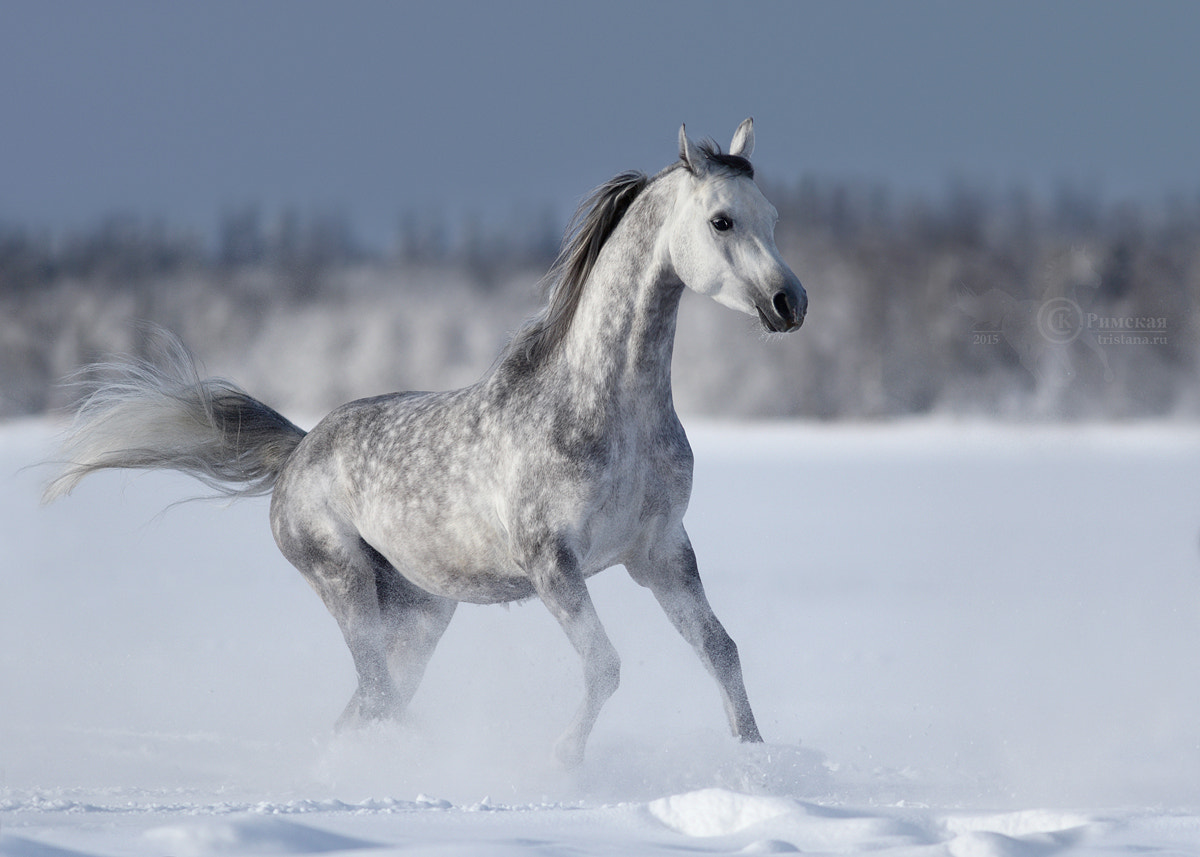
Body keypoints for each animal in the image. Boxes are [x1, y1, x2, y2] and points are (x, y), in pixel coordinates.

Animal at [49, 118, 816, 763]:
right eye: (721, 219)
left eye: (773, 218)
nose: (790, 304)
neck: (607, 413)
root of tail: (300, 451)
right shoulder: (553, 564)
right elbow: (605, 666)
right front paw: (562, 761)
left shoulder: (661, 553)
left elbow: (721, 650)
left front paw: (757, 763)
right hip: (346, 585)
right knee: (379, 695)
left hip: (421, 609)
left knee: (370, 702)